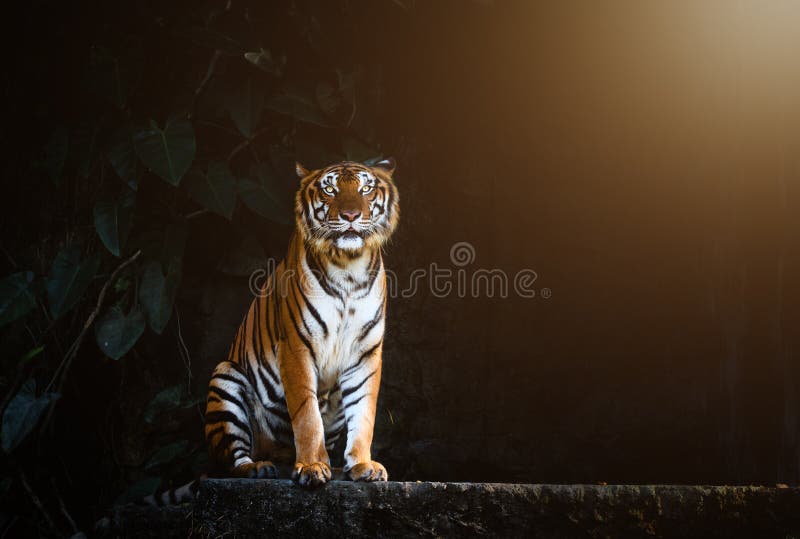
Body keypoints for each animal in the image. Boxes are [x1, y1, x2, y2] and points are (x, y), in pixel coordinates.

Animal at [204, 158, 399, 487]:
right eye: (330, 189)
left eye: (365, 189)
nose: (350, 215)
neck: (349, 268)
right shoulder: (297, 346)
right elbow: (307, 415)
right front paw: (310, 467)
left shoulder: (365, 352)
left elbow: (364, 413)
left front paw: (362, 465)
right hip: (226, 378)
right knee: (234, 459)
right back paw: (258, 468)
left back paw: (337, 469)